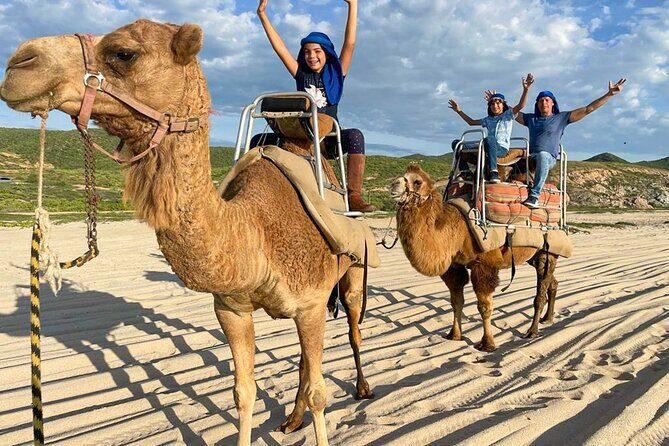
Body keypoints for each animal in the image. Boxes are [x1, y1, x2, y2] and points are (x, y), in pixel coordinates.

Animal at [0, 20, 373, 445]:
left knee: (354, 326)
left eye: (124, 53)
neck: (253, 231)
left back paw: (362, 388)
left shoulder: (310, 303)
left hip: (352, 272)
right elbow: (244, 393)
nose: (19, 63)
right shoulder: (231, 309)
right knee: (303, 362)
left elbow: (318, 393)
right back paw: (291, 420)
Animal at [390, 164, 558, 351]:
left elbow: (484, 307)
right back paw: (547, 319)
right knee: (552, 282)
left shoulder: (484, 265)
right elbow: (456, 301)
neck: (457, 231)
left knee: (541, 290)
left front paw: (487, 344)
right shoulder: (454, 266)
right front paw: (454, 335)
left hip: (547, 251)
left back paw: (532, 331)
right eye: (403, 175)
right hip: (534, 256)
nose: (393, 186)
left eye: (417, 181)